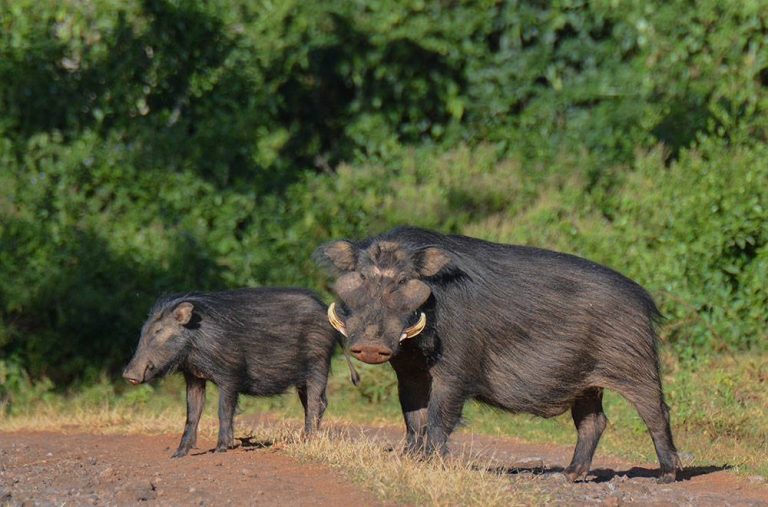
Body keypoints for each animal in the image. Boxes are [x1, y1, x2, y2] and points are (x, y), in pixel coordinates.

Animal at [123, 288, 359, 458]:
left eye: (159, 331)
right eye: (144, 331)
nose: (128, 375)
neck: (196, 343)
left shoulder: (230, 376)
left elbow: (223, 410)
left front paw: (220, 449)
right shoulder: (195, 378)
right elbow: (192, 414)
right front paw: (177, 454)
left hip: (318, 363)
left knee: (316, 403)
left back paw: (308, 440)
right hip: (304, 377)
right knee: (315, 403)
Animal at [314, 226, 681, 483]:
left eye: (405, 280)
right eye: (362, 276)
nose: (370, 344)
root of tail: (644, 299)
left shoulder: (455, 370)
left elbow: (439, 416)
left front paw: (432, 463)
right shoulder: (408, 371)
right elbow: (413, 416)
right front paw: (410, 460)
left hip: (635, 364)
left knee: (656, 411)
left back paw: (666, 476)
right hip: (586, 384)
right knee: (594, 422)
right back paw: (569, 475)